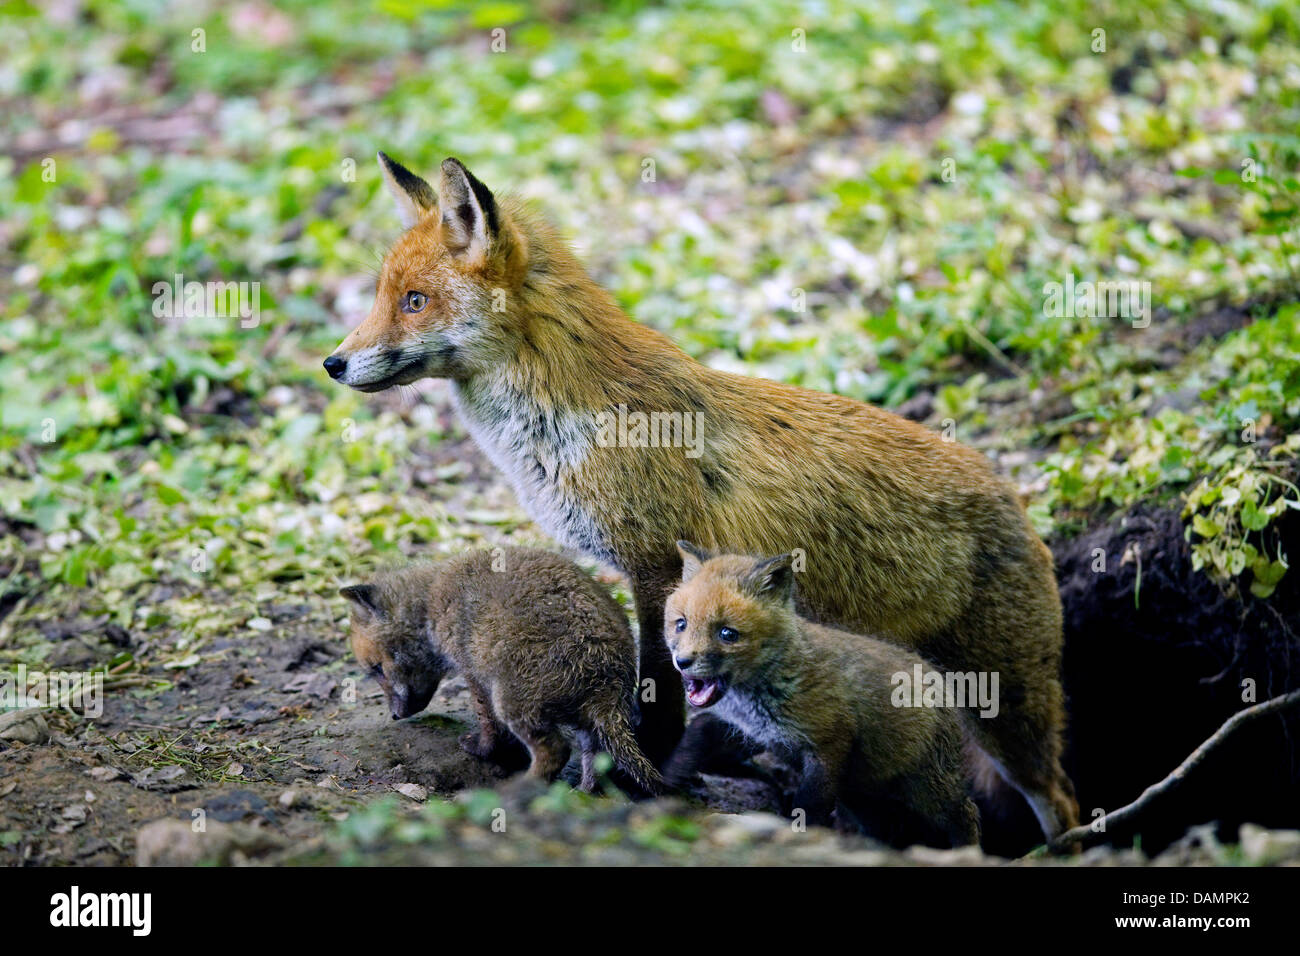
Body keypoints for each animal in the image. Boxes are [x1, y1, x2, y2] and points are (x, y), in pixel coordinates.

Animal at [322, 153, 1076, 842]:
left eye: (414, 300)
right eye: (383, 295)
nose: (332, 363)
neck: (567, 422)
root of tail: (1012, 494)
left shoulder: (656, 566)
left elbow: (656, 698)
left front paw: (642, 778)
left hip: (1005, 709)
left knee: (1058, 798)